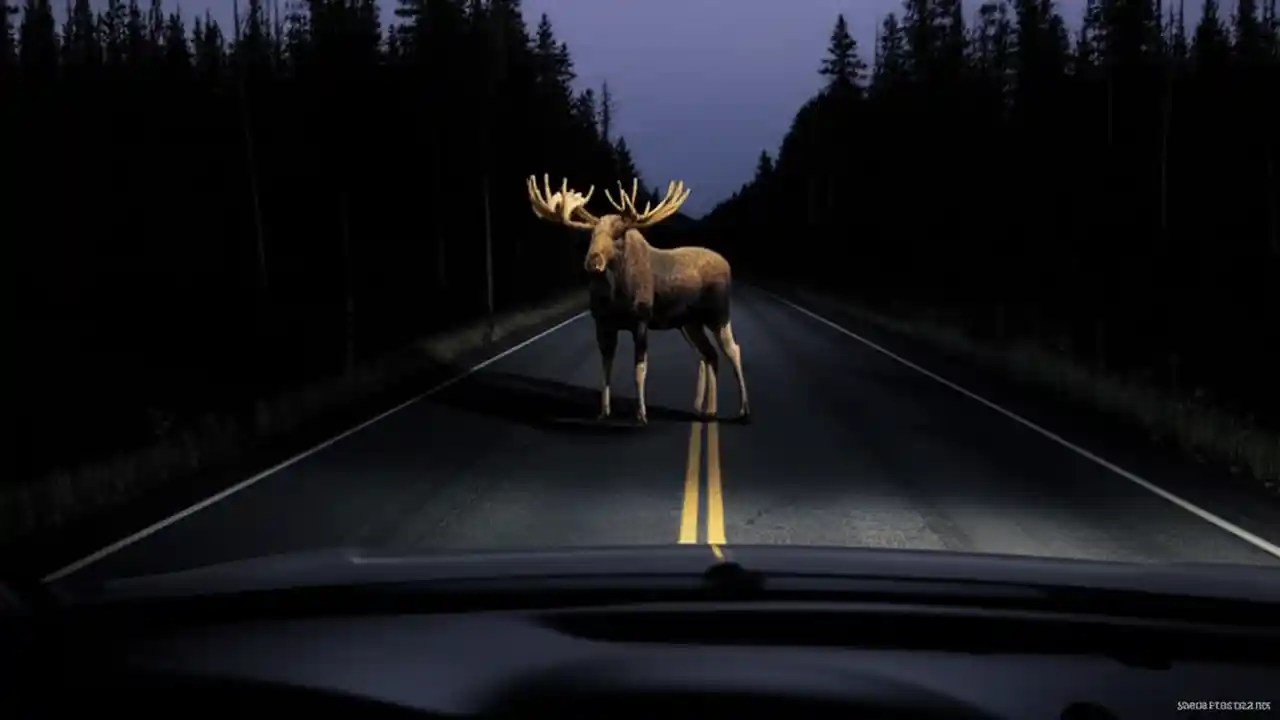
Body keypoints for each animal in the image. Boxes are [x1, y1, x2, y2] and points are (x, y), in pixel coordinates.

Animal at [526, 174, 750, 426]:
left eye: (617, 235)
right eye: (592, 235)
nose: (593, 261)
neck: (615, 294)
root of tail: (727, 264)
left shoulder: (641, 319)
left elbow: (639, 369)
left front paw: (641, 414)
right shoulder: (602, 323)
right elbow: (605, 368)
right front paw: (603, 411)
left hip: (719, 314)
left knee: (733, 350)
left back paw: (743, 410)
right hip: (689, 323)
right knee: (709, 354)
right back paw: (706, 410)